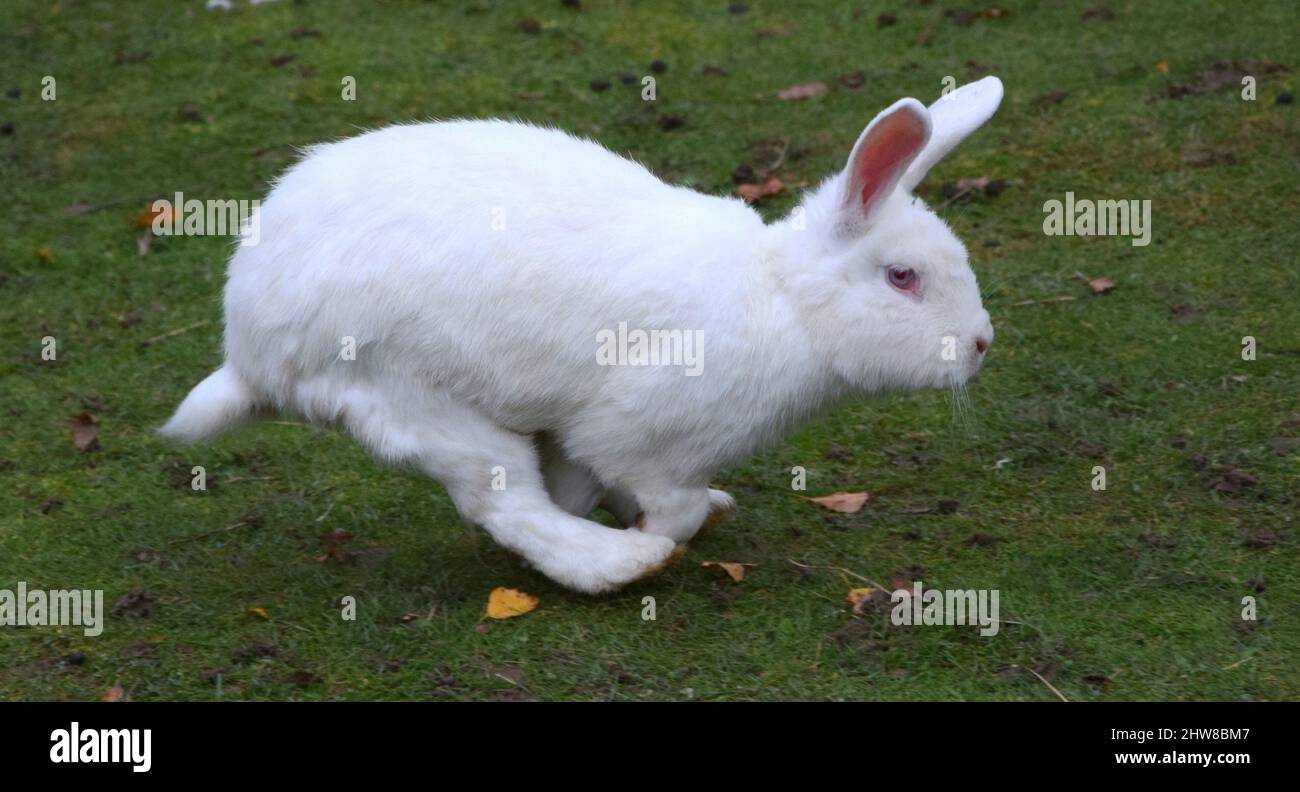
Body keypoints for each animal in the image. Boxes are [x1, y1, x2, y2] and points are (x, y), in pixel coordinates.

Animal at [161, 76, 1004, 593]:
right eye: (903, 278)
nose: (981, 344)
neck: (785, 299)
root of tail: (248, 347)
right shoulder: (641, 433)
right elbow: (658, 499)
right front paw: (664, 531)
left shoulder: (583, 434)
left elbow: (583, 478)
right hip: (410, 396)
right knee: (503, 502)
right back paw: (622, 563)